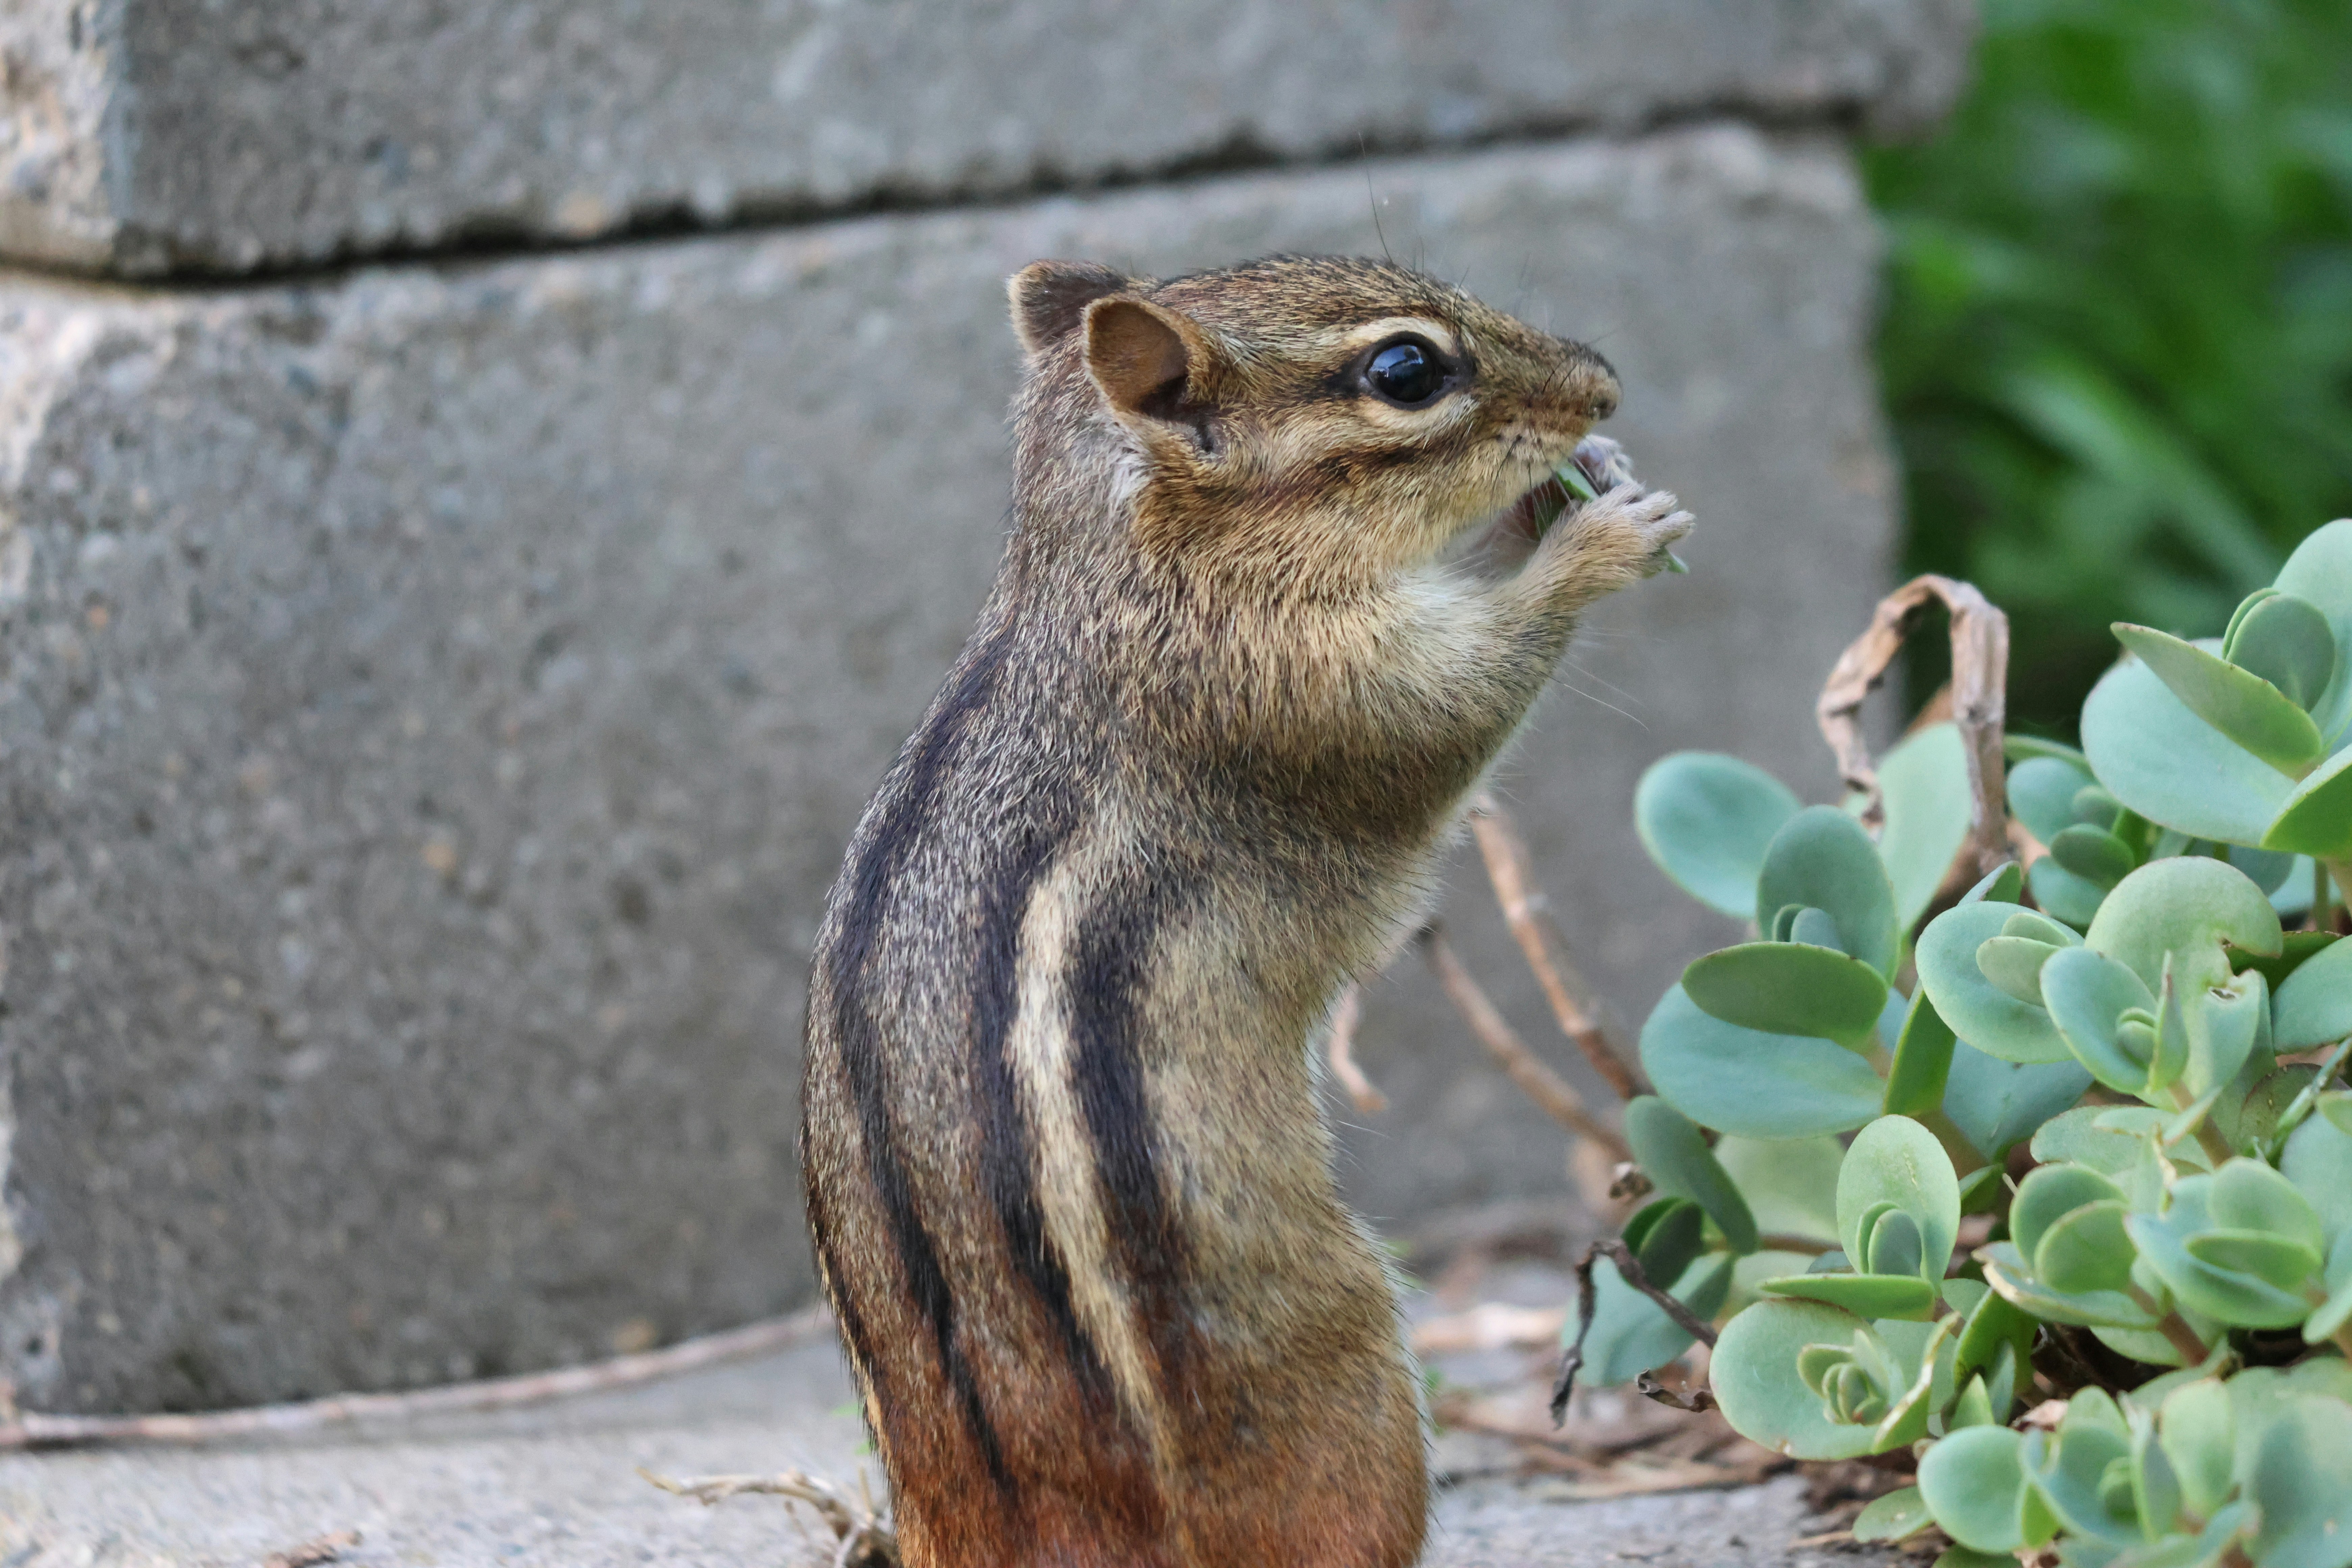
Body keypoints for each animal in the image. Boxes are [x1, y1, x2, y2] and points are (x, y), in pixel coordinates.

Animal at [801, 254, 1692, 1567]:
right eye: (1407, 371)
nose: (1604, 385)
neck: (1131, 564)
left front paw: (1585, 480)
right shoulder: (1319, 689)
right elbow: (1468, 688)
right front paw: (1599, 536)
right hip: (1353, 1373)